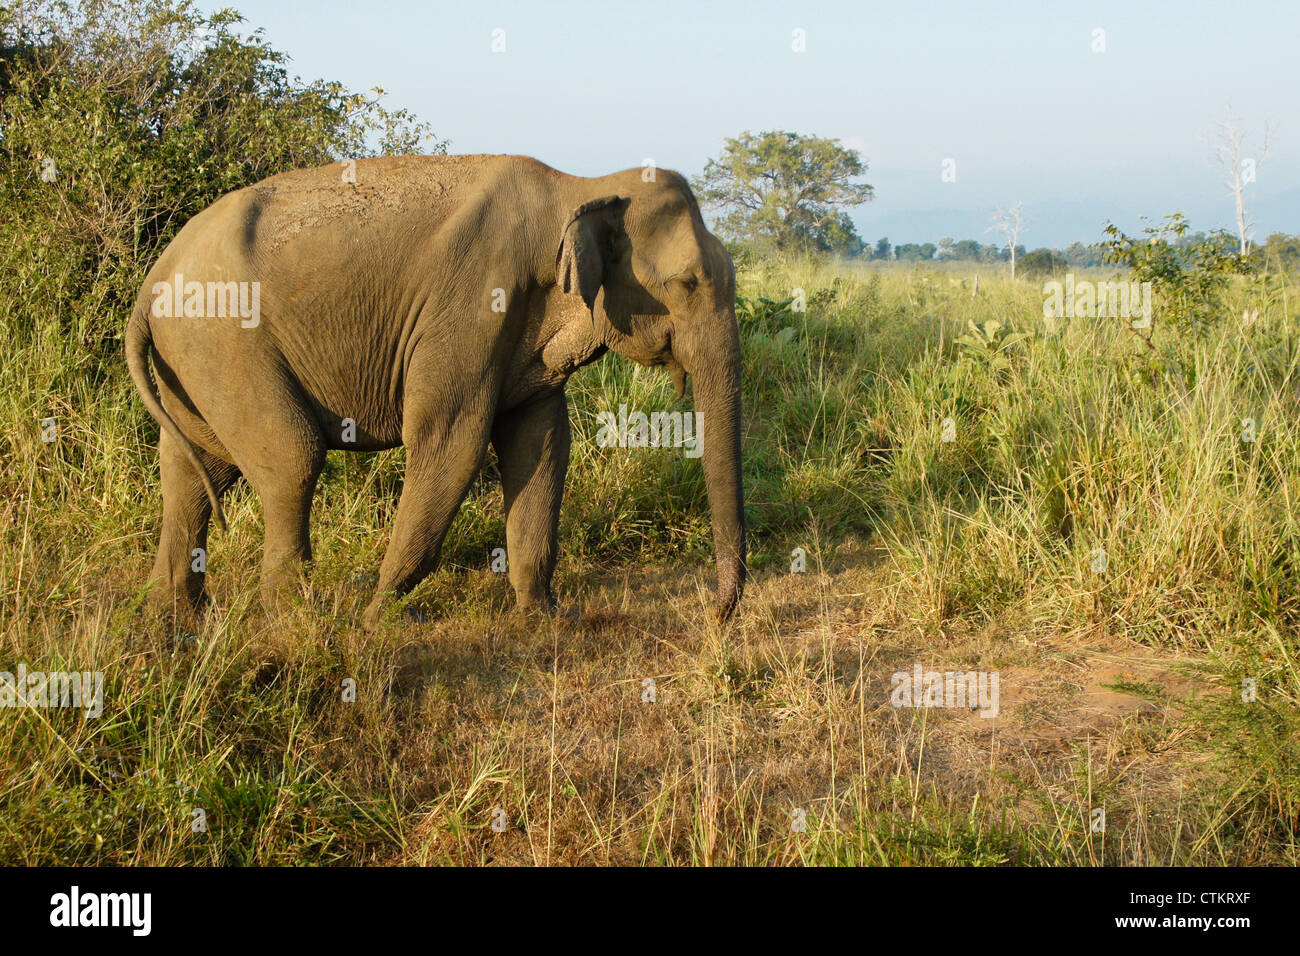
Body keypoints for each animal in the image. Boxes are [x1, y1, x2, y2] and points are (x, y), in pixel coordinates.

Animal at [125, 154, 746, 631]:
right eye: (688, 283)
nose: (713, 614)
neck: (581, 188)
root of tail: (153, 277)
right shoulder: (471, 304)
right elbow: (452, 442)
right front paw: (377, 620)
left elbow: (542, 445)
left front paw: (547, 618)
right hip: (225, 338)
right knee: (290, 460)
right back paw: (297, 621)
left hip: (193, 357)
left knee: (192, 469)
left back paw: (171, 618)